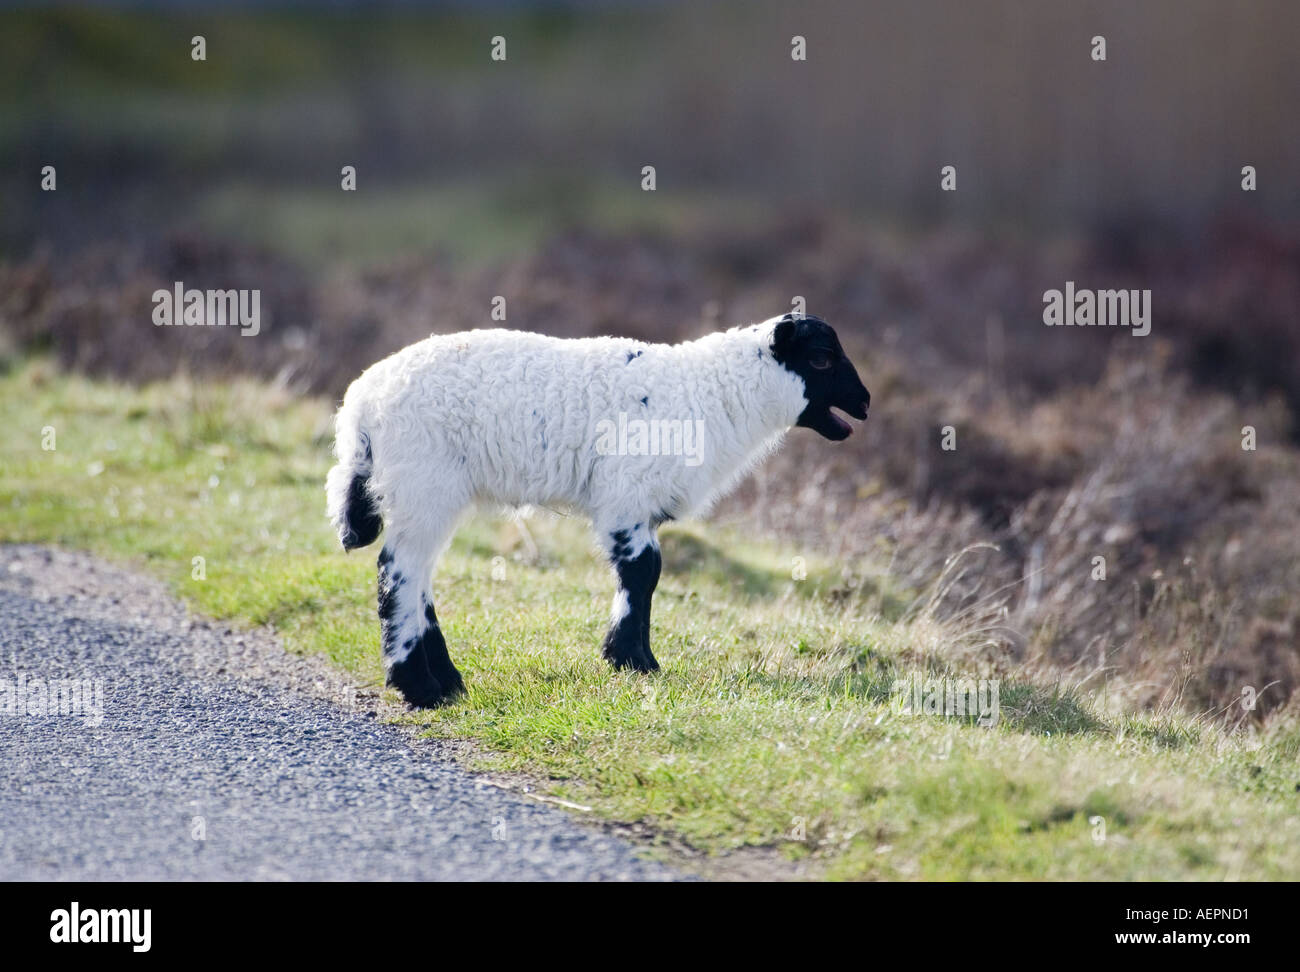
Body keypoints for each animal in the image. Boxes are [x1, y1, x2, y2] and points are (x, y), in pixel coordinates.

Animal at [325, 313, 871, 707]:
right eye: (822, 360)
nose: (865, 403)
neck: (715, 395)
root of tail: (359, 406)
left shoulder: (638, 504)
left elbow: (645, 575)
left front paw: (631, 657)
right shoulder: (626, 495)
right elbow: (643, 572)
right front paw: (633, 661)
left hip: (423, 489)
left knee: (417, 576)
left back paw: (448, 682)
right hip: (423, 479)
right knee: (398, 574)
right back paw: (420, 688)